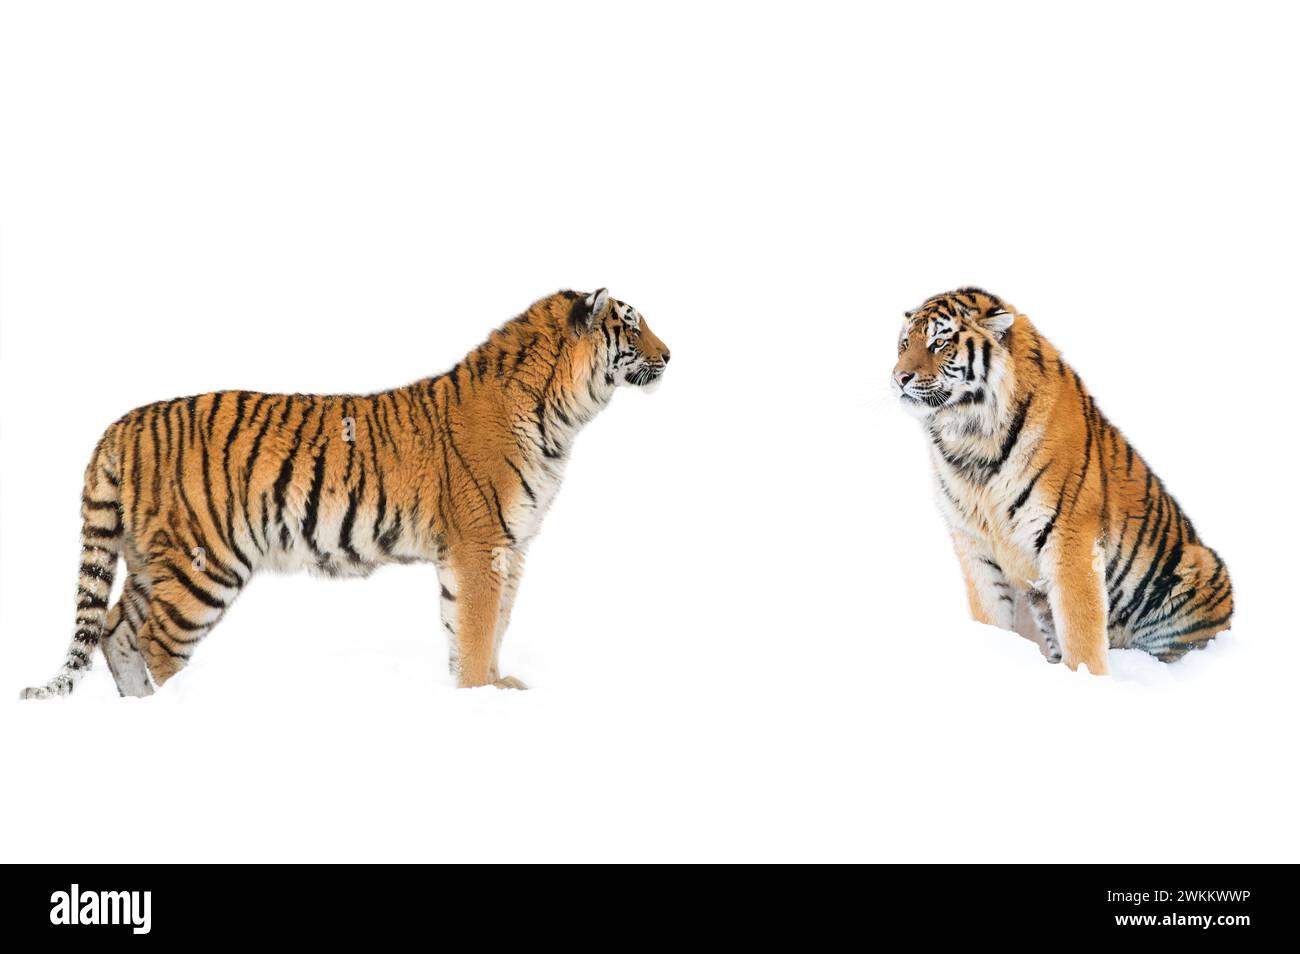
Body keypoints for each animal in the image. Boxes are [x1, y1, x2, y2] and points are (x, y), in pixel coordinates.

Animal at [21, 287, 670, 698]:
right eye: (632, 323)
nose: (670, 354)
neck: (561, 414)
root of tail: (119, 425)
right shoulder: (481, 543)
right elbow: (479, 626)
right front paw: (482, 695)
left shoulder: (508, 547)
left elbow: (477, 627)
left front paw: (489, 688)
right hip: (203, 563)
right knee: (154, 643)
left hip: (149, 560)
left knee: (114, 631)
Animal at [892, 288, 1232, 675]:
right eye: (905, 344)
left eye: (939, 342)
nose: (899, 377)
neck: (968, 443)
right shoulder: (973, 543)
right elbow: (990, 613)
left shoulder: (1068, 536)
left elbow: (1080, 631)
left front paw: (1088, 677)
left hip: (1198, 570)